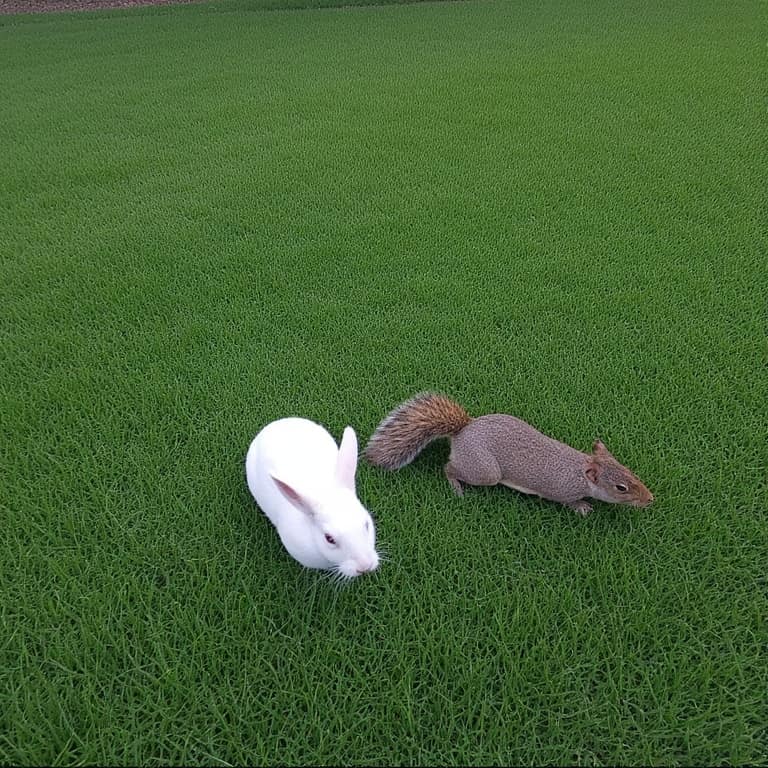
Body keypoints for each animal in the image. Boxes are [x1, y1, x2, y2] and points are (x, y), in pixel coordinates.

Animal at [364, 392, 653, 516]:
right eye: (621, 488)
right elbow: (566, 501)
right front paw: (582, 507)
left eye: (630, 472)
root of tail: (464, 430)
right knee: (449, 468)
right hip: (484, 470)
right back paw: (457, 487)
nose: (650, 499)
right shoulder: (559, 489)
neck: (579, 470)